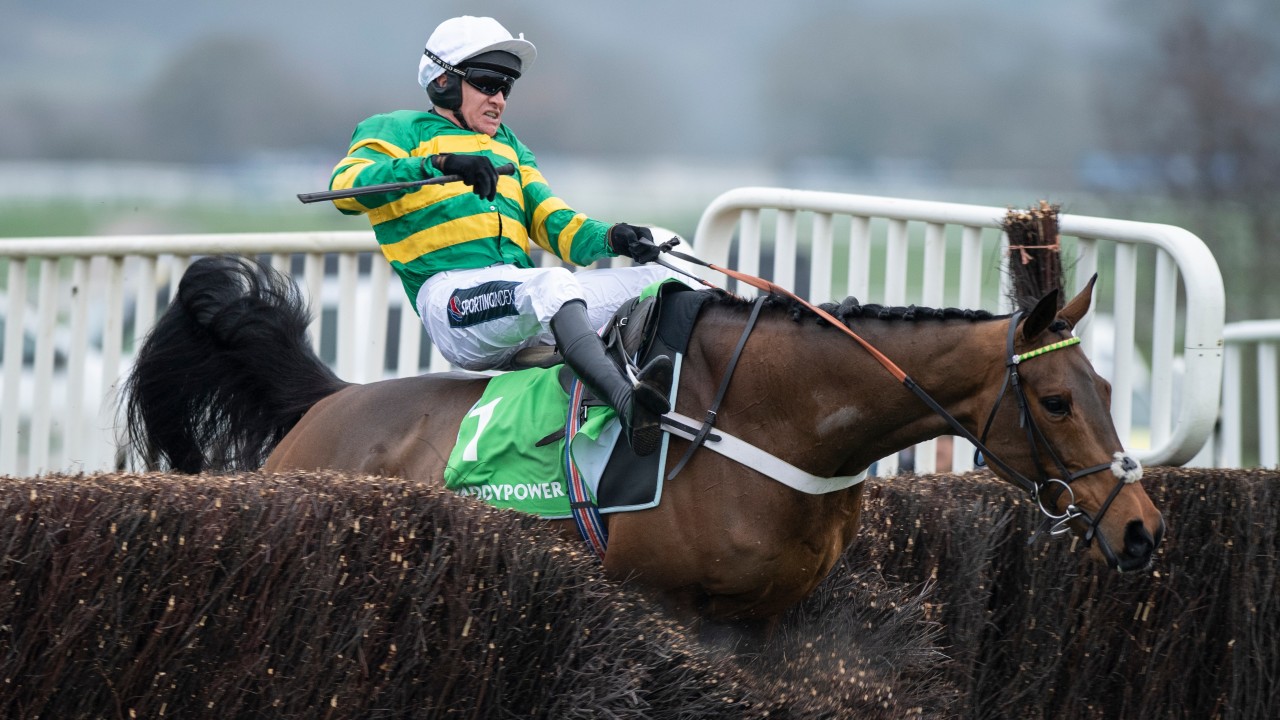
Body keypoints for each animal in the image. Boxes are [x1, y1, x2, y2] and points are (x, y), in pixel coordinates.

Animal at [121, 255, 1164, 627]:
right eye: (1058, 401)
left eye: (1112, 389)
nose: (1143, 529)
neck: (768, 421)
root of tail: (327, 404)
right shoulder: (675, 601)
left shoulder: (777, 614)